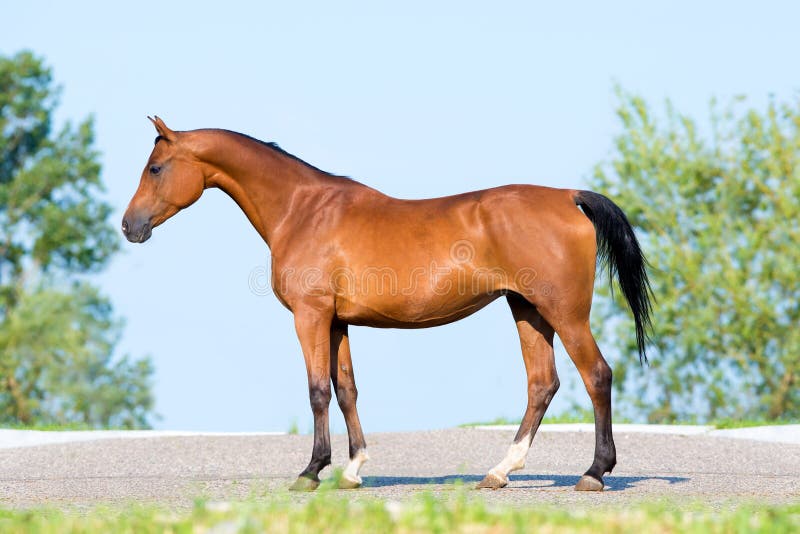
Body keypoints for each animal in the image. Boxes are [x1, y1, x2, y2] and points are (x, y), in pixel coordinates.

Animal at [122, 117, 652, 492]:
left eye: (155, 168)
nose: (130, 226)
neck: (303, 210)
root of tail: (568, 196)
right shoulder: (337, 322)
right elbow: (346, 390)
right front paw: (352, 470)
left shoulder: (310, 317)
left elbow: (317, 390)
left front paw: (311, 472)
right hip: (527, 310)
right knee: (542, 384)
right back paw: (499, 472)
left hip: (564, 313)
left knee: (596, 375)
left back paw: (594, 473)